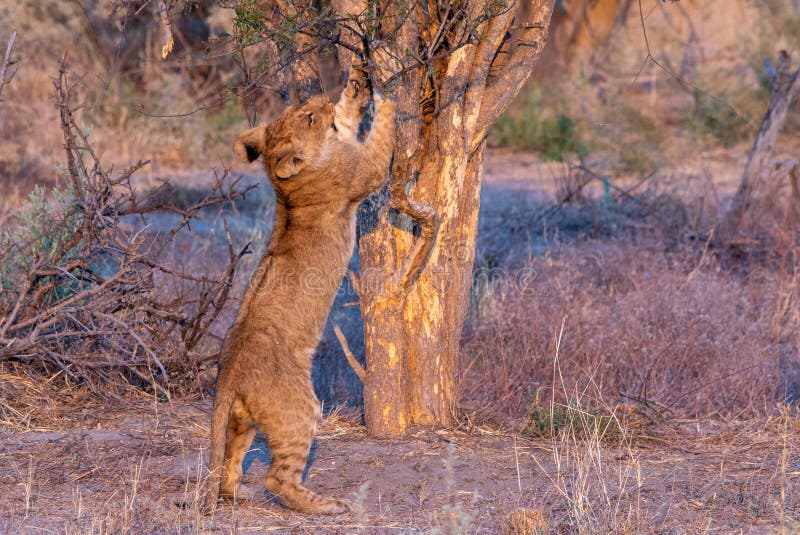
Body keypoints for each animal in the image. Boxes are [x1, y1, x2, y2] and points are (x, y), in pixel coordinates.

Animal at [203, 67, 395, 515]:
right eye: (307, 117)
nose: (321, 99)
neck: (284, 186)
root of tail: (229, 372)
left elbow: (348, 122)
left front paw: (355, 90)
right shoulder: (364, 171)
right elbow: (379, 139)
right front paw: (388, 98)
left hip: (241, 420)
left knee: (231, 458)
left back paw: (235, 494)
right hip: (299, 409)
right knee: (278, 477)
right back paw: (325, 505)